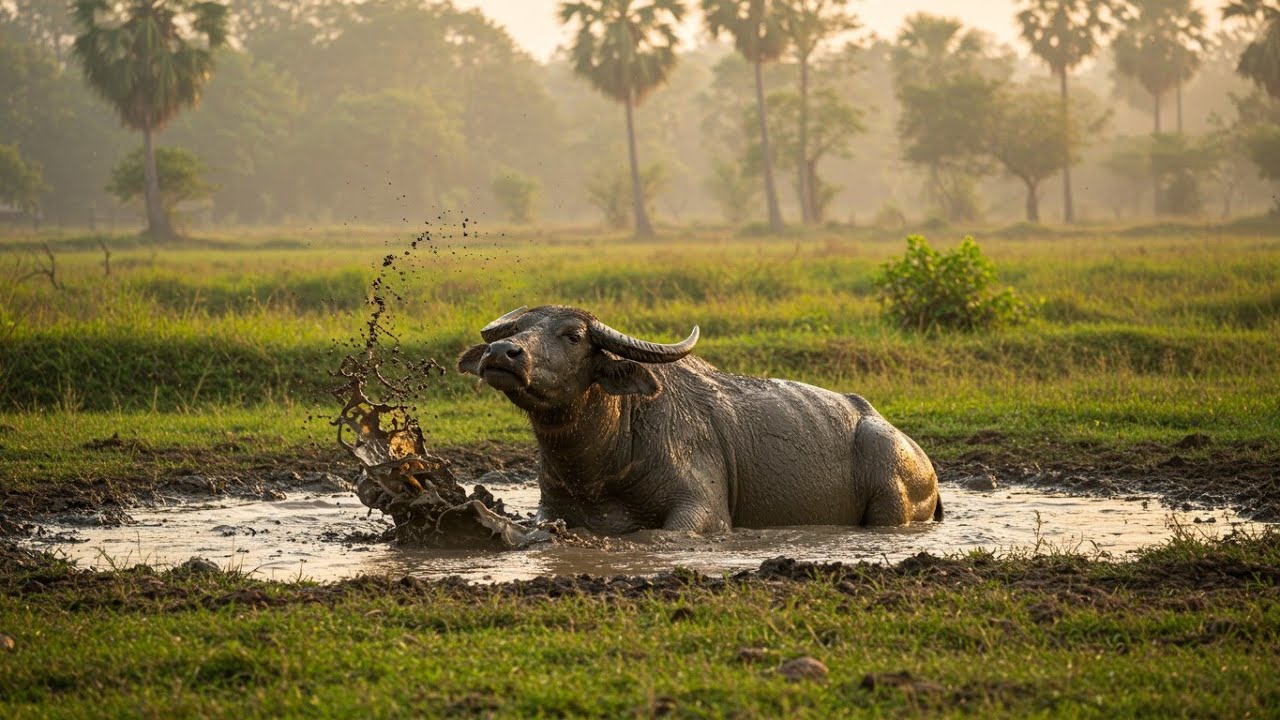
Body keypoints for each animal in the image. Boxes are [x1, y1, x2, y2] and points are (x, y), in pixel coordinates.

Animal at [458, 305, 941, 534]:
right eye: (515, 330)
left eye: (573, 335)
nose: (501, 353)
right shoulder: (550, 510)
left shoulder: (703, 512)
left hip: (891, 500)